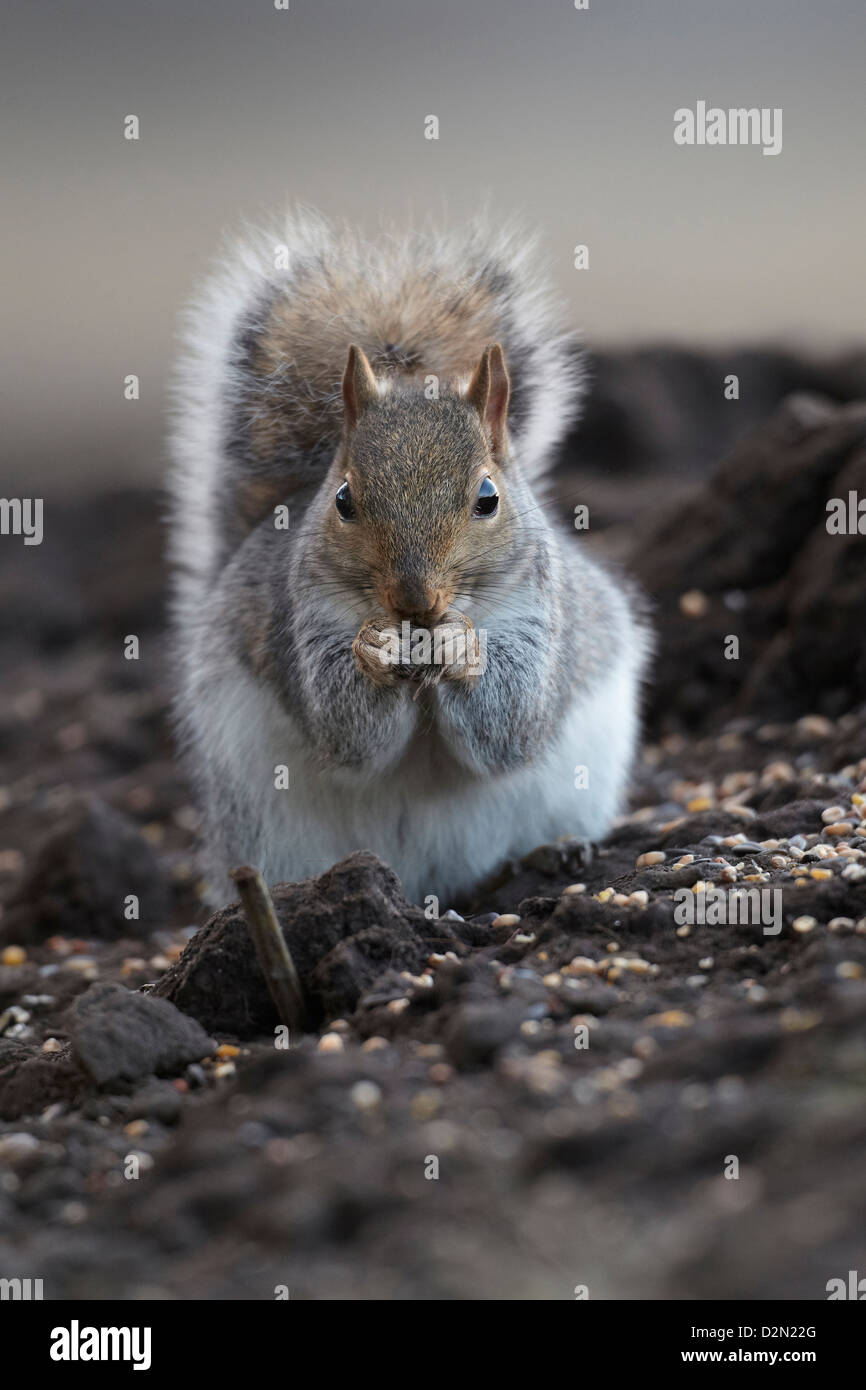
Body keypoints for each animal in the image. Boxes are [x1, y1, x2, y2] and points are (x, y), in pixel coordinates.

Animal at [167, 211, 650, 908]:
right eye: (343, 500)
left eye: (487, 497)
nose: (414, 600)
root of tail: (434, 884)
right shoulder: (301, 623)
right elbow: (347, 730)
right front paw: (375, 653)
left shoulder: (542, 618)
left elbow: (511, 725)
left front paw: (462, 648)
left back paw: (549, 852)